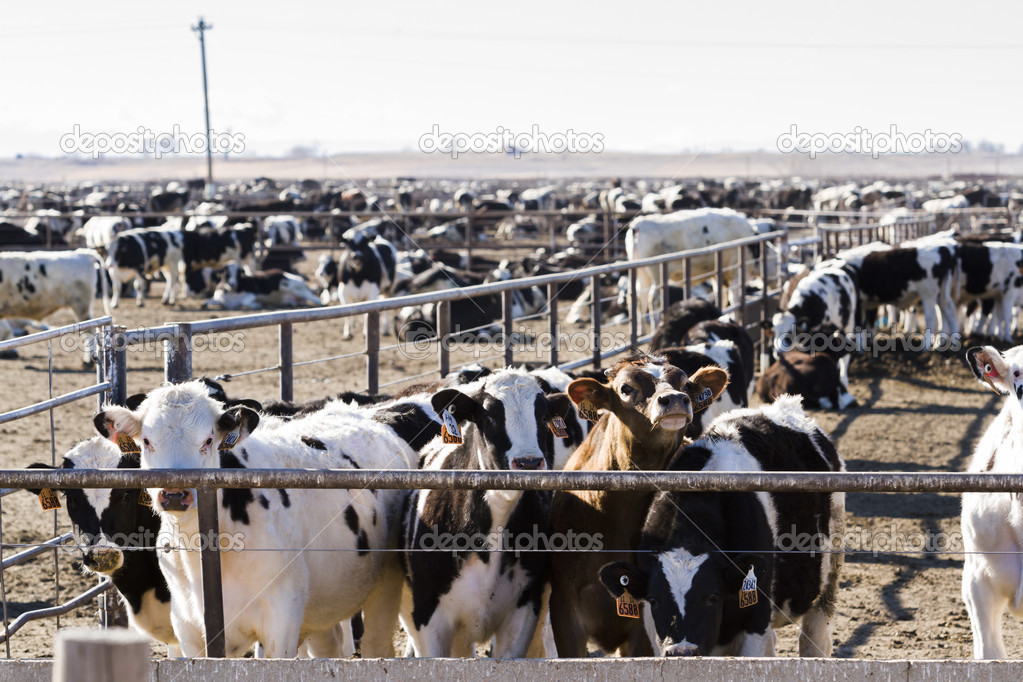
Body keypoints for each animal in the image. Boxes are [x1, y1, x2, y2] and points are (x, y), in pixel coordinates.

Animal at [93, 381, 415, 657]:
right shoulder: (188, 628)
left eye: (208, 440)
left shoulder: (281, 621)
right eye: (147, 441)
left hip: (384, 590)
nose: (174, 495)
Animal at [598, 396, 845, 657]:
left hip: (827, 583)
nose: (682, 651)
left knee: (815, 640)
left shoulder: (756, 622)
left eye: (712, 596)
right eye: (654, 599)